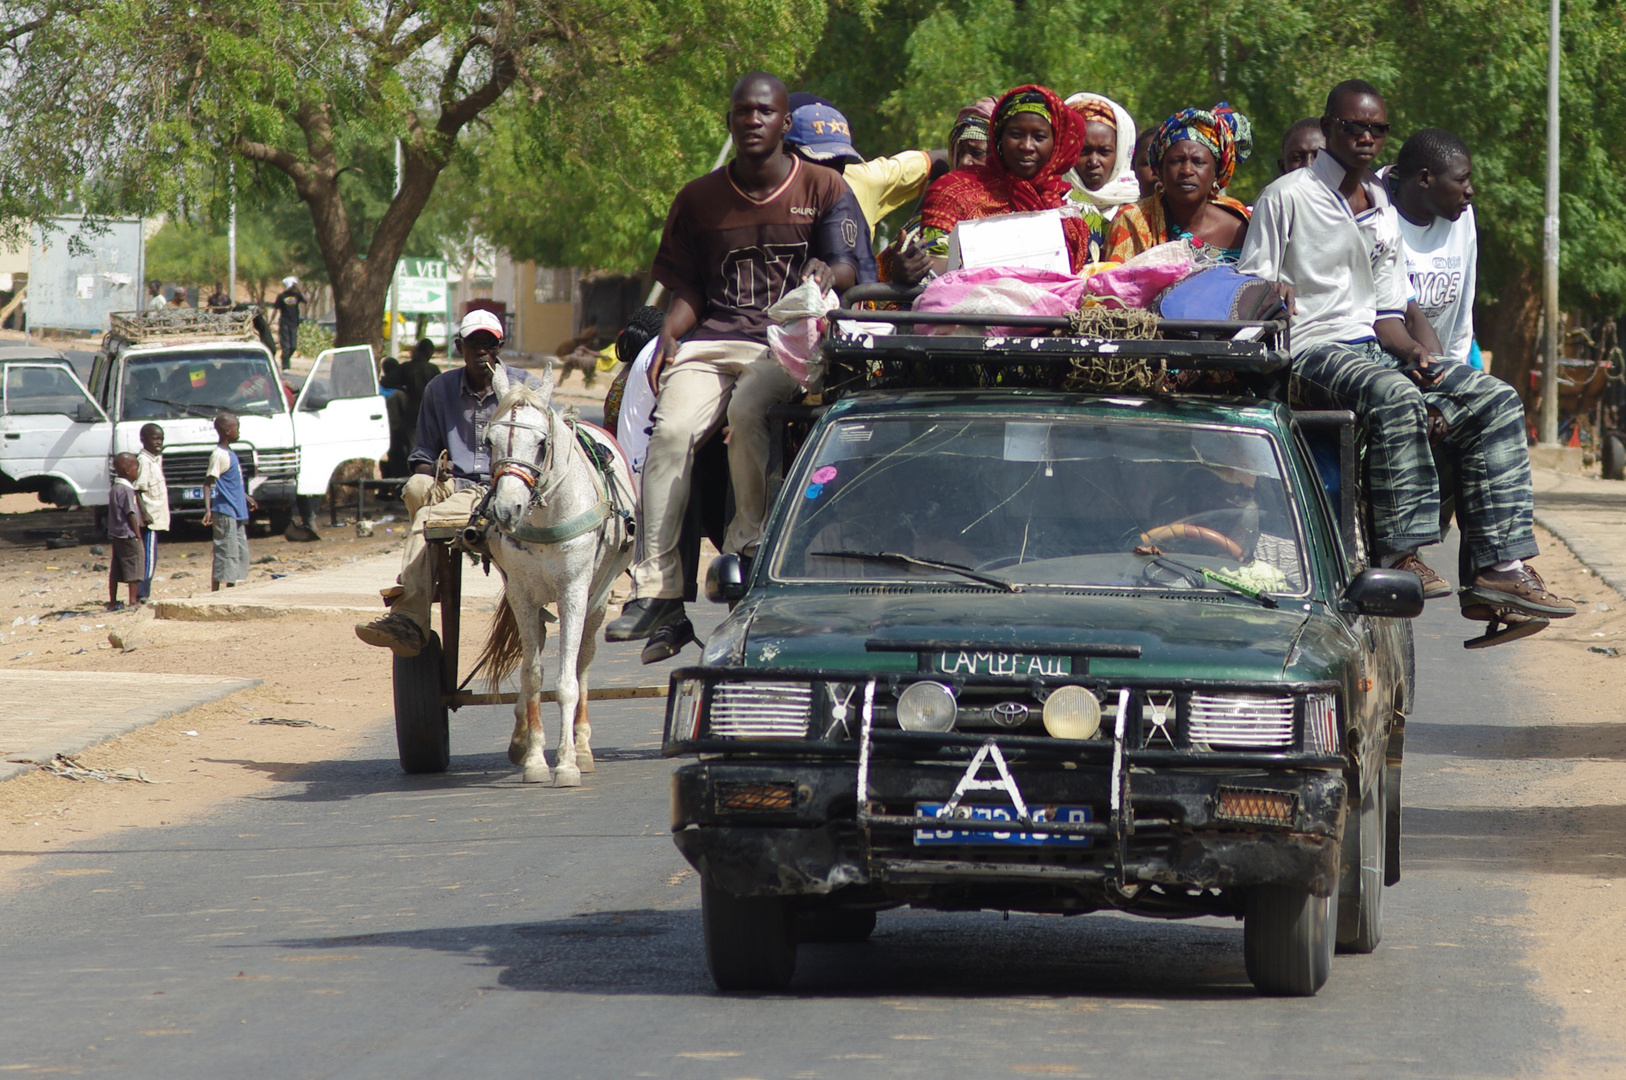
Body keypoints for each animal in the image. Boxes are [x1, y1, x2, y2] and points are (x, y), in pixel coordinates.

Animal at [471, 362, 634, 783]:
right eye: (489, 441)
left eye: (542, 443)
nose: (506, 509)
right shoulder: (521, 594)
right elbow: (532, 676)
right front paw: (534, 759)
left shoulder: (573, 593)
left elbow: (567, 681)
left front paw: (567, 763)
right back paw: (522, 738)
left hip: (597, 597)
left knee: (584, 662)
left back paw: (583, 748)